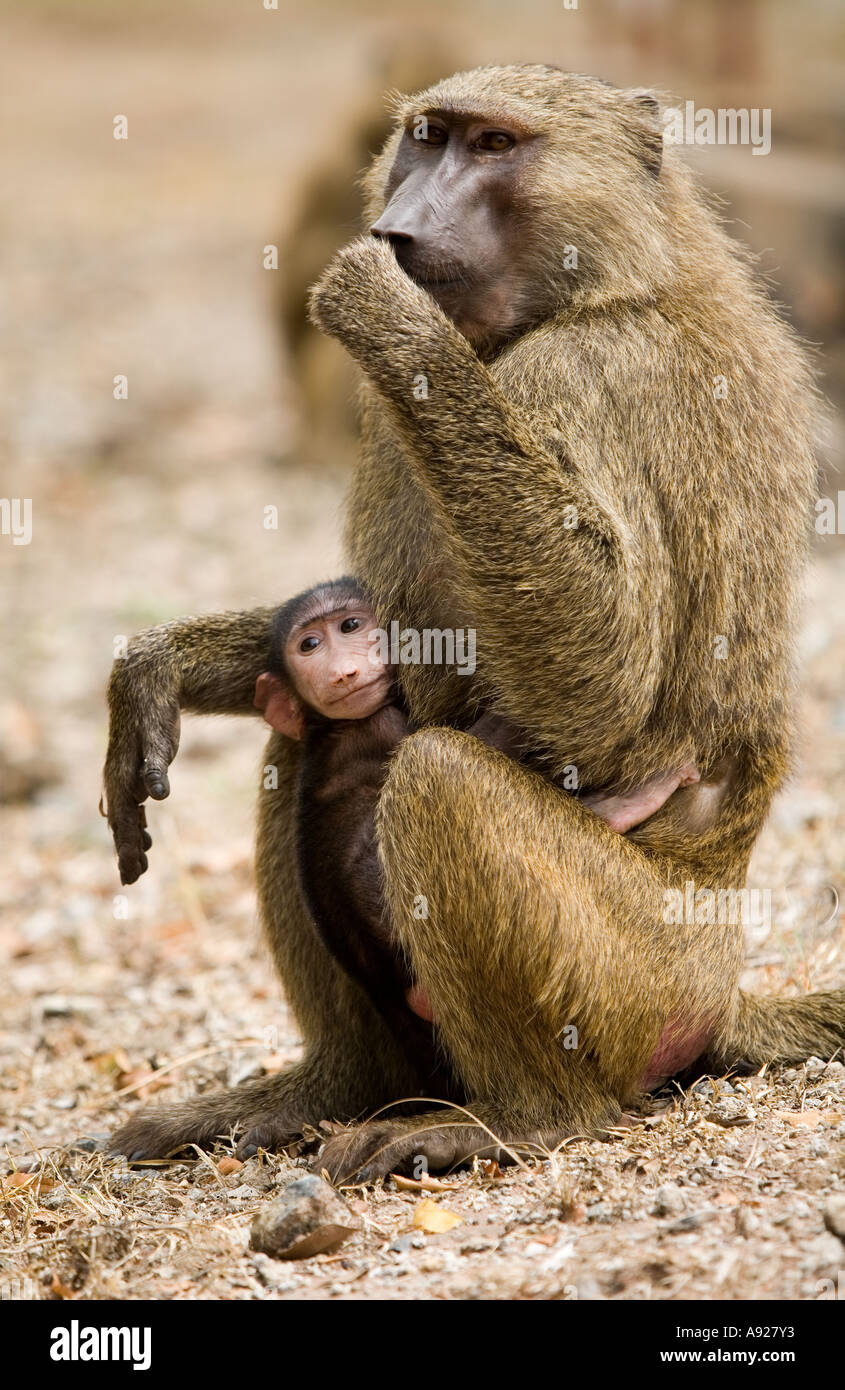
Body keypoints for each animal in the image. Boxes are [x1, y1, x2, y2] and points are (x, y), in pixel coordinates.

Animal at [103, 66, 845, 1181]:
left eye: (494, 145)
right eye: (427, 137)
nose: (401, 228)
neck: (603, 285)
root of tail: (721, 978)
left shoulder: (585, 375)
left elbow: (602, 689)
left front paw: (388, 314)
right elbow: (371, 649)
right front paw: (163, 669)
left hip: (642, 975)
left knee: (435, 780)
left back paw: (520, 1117)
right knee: (303, 745)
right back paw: (322, 1093)